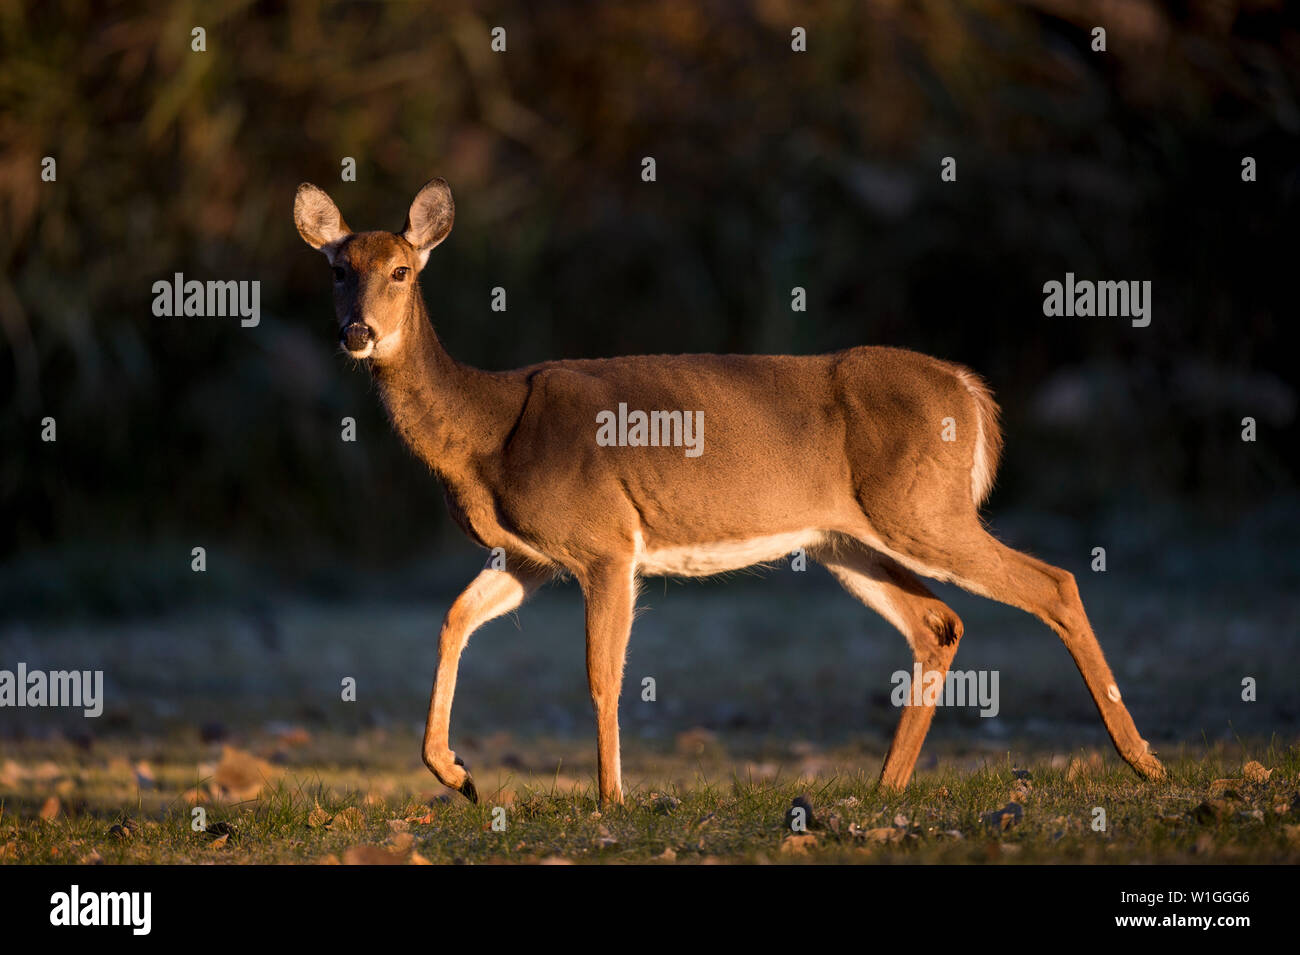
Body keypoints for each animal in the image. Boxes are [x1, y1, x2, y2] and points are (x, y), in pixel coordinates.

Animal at [294, 177, 1166, 807]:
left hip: (924, 509)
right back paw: (886, 787)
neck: (486, 430)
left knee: (1053, 581)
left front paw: (612, 798)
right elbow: (452, 619)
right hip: (844, 537)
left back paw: (1143, 760)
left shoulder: (607, 541)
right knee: (939, 622)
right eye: (338, 270)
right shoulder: (532, 556)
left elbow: (600, 672)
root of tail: (970, 391)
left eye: (402, 270)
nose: (358, 333)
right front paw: (458, 773)